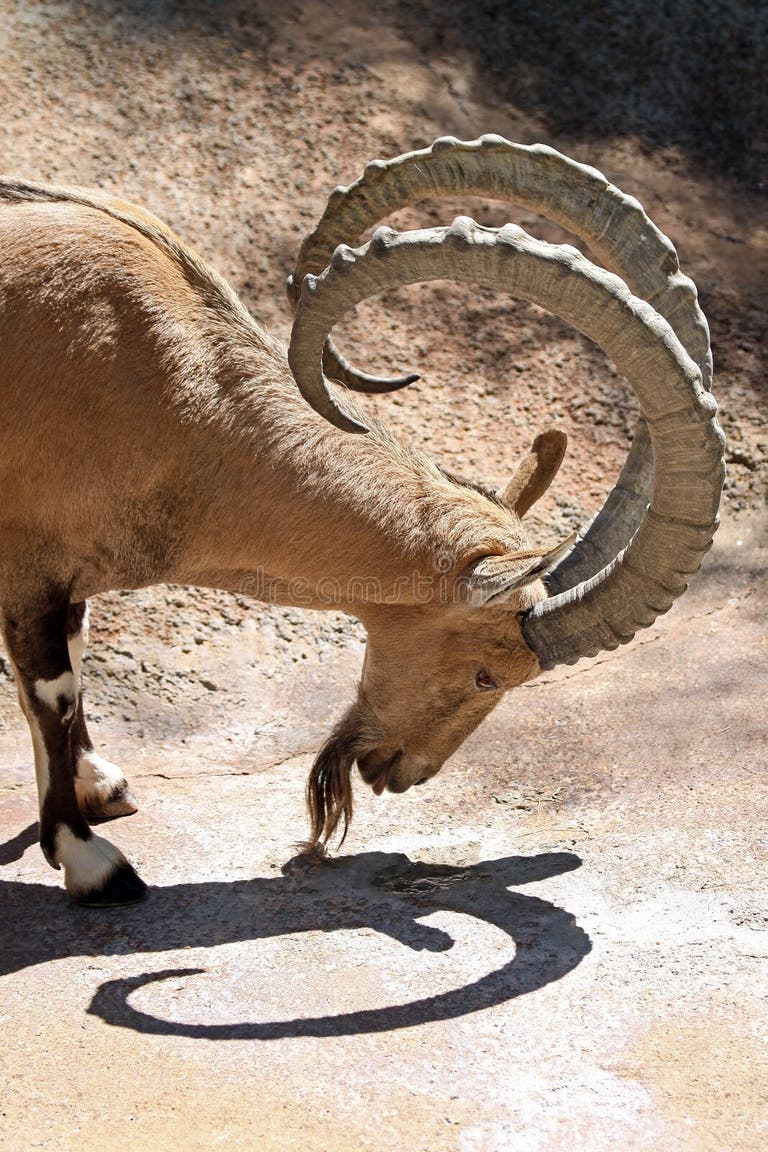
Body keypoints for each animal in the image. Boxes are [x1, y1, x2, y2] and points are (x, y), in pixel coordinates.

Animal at [0, 136, 724, 904]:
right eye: (486, 677)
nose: (400, 774)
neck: (169, 386)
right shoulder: (29, 562)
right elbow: (53, 692)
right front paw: (92, 861)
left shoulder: (64, 576)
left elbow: (68, 661)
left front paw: (99, 787)